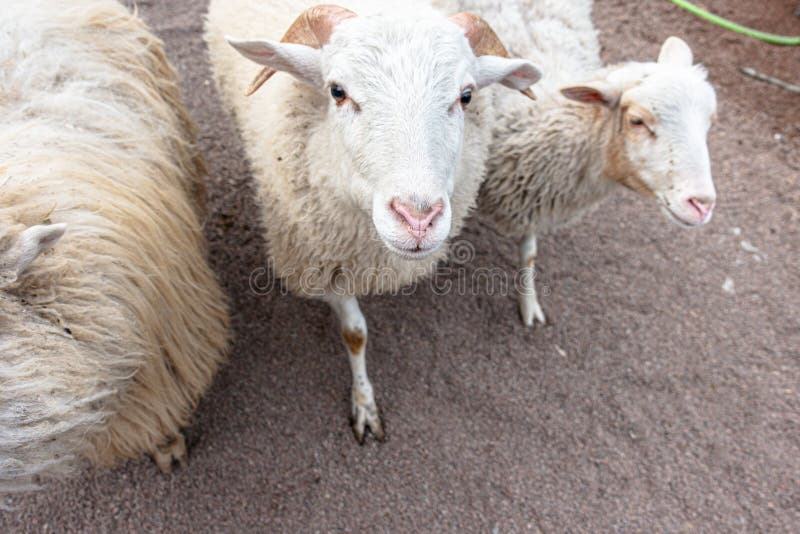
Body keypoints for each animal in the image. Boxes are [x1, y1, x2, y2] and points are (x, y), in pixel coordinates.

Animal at [205, 0, 541, 442]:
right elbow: (355, 333)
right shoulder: (322, 257)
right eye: (337, 91)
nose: (418, 220)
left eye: (466, 96)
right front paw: (364, 404)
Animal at [437, 0, 718, 326]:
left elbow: (529, 251)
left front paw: (529, 301)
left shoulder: (530, 194)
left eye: (709, 122)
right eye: (637, 120)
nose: (701, 204)